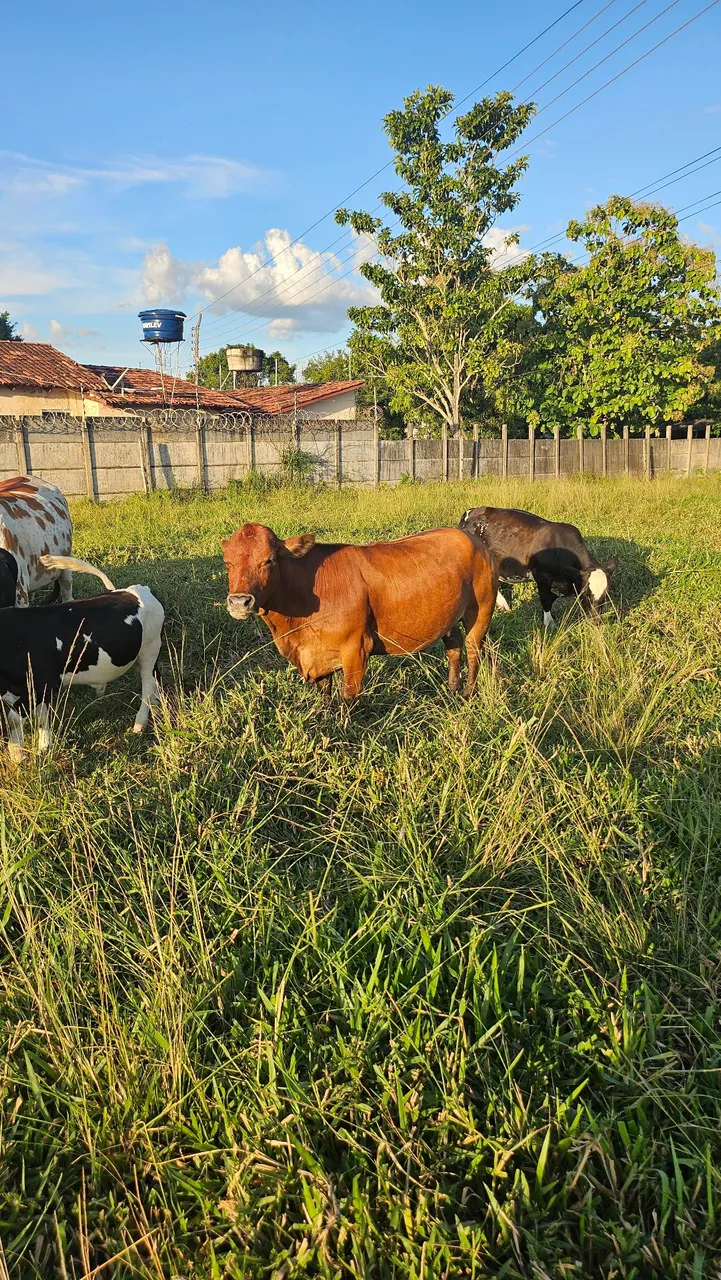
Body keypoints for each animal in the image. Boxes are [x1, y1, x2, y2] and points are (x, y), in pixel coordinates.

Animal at [0, 554, 164, 760]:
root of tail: (136, 590)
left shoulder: (40, 685)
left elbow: (14, 719)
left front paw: (17, 757)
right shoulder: (39, 689)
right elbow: (42, 716)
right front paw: (44, 747)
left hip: (150, 649)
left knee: (148, 684)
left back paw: (140, 723)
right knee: (155, 681)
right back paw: (156, 707)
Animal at [222, 522, 500, 701]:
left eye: (269, 560)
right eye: (227, 562)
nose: (239, 601)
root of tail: (472, 539)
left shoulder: (356, 649)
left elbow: (348, 698)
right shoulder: (318, 655)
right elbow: (326, 694)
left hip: (480, 612)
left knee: (473, 650)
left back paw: (467, 694)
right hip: (450, 616)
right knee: (454, 647)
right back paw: (451, 690)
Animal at [459, 506, 618, 630]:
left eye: (607, 595)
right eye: (585, 594)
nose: (596, 621)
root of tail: (470, 512)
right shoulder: (542, 577)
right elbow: (546, 600)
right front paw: (549, 624)